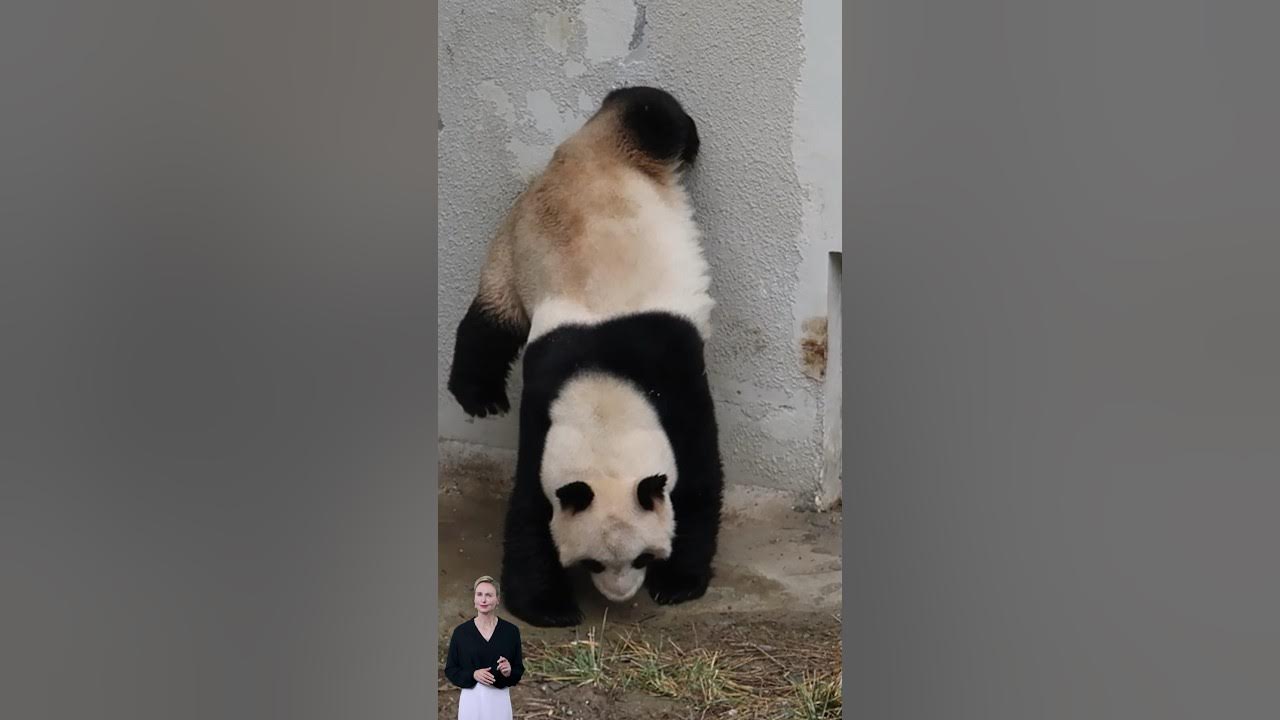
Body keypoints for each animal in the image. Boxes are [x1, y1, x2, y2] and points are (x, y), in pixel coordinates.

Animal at [446, 86, 724, 627]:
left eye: (642, 558)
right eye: (595, 562)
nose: (619, 596)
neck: (604, 391)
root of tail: (582, 146)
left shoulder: (676, 378)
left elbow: (698, 482)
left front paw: (677, 582)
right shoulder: (543, 407)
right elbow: (531, 504)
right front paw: (548, 604)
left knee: (652, 113)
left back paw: (689, 142)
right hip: (512, 250)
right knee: (491, 323)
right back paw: (479, 395)